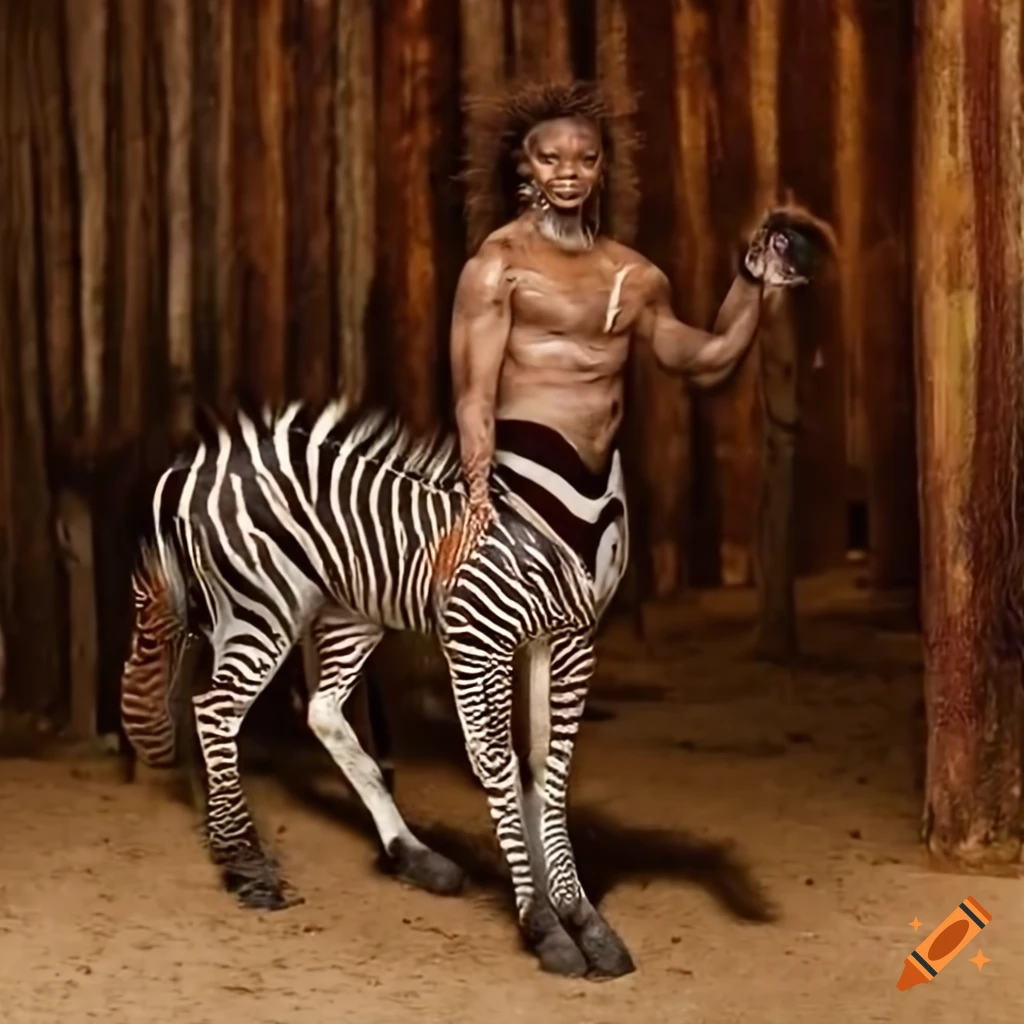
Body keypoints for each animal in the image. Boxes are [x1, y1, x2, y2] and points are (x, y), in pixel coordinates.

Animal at [120, 399, 635, 979]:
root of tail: (185, 470)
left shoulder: (567, 645)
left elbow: (547, 766)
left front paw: (579, 912)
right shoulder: (477, 647)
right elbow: (499, 764)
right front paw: (544, 922)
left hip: (353, 608)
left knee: (320, 710)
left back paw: (412, 853)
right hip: (264, 605)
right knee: (216, 709)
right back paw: (247, 864)